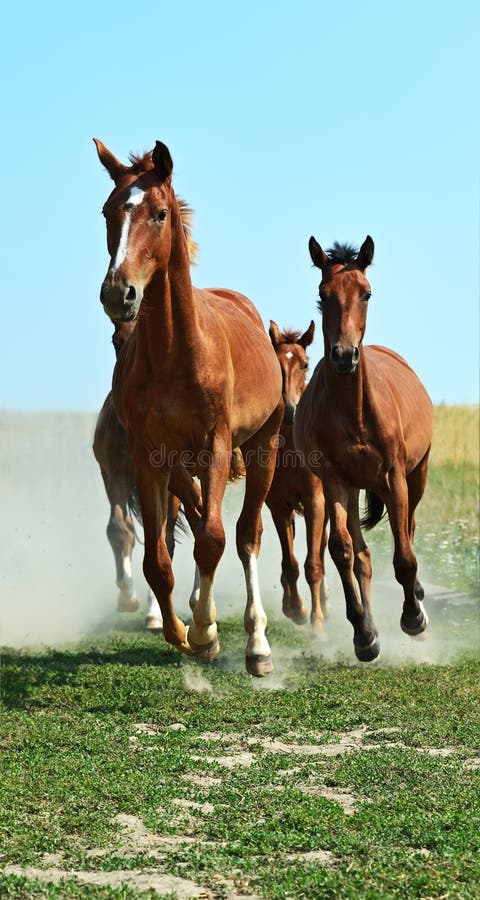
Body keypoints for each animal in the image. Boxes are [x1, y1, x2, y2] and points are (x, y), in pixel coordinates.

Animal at [94, 138, 283, 676]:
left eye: (159, 213)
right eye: (108, 211)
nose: (118, 293)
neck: (176, 352)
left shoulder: (217, 444)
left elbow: (217, 539)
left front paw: (202, 631)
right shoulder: (148, 456)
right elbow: (159, 558)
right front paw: (185, 631)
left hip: (263, 447)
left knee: (244, 534)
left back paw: (256, 643)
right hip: (181, 466)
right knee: (197, 520)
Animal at [294, 236, 434, 661]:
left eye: (366, 293)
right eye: (323, 295)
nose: (344, 355)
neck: (353, 413)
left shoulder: (394, 478)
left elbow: (404, 555)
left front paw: (413, 619)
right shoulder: (335, 482)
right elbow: (342, 552)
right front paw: (364, 635)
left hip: (416, 477)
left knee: (409, 530)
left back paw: (418, 602)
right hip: (354, 489)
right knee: (362, 557)